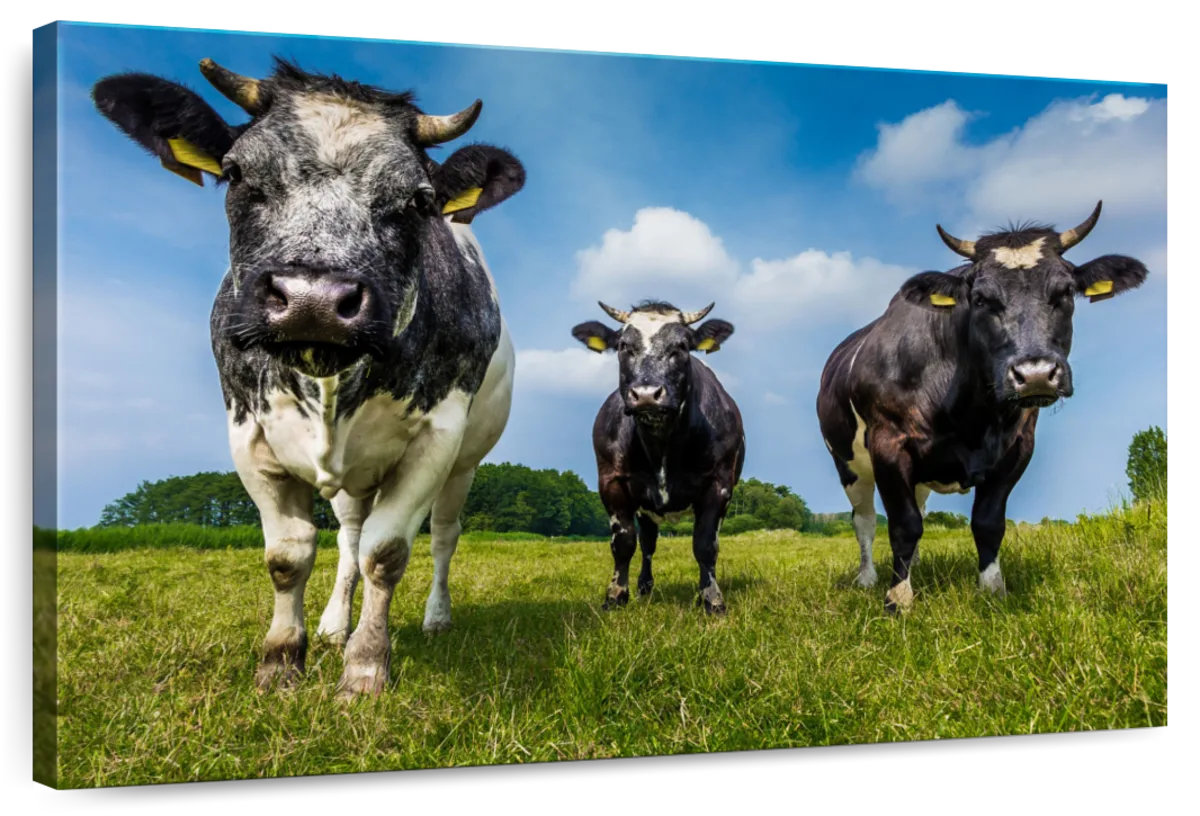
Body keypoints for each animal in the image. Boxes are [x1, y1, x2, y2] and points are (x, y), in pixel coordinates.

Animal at [92, 58, 525, 697]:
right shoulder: (247, 433)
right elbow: (289, 556)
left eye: (419, 199)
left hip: (464, 463)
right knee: (348, 535)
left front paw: (366, 668)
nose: (313, 301)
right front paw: (281, 662)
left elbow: (386, 553)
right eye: (235, 173)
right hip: (355, 479)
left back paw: (435, 618)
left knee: (441, 535)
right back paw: (333, 624)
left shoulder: (436, 438)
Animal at [572, 302, 745, 614]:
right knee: (648, 543)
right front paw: (615, 596)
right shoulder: (612, 483)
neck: (661, 443)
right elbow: (624, 542)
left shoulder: (719, 485)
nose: (646, 394)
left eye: (682, 346)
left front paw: (712, 599)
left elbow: (705, 544)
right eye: (623, 345)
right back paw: (644, 587)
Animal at [816, 202, 1147, 612]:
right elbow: (902, 524)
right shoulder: (888, 442)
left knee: (918, 507)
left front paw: (992, 590)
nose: (1035, 374)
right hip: (848, 463)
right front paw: (898, 598)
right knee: (864, 520)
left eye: (1066, 291)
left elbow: (987, 522)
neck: (970, 415)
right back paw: (867, 577)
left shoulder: (1018, 447)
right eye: (981, 299)